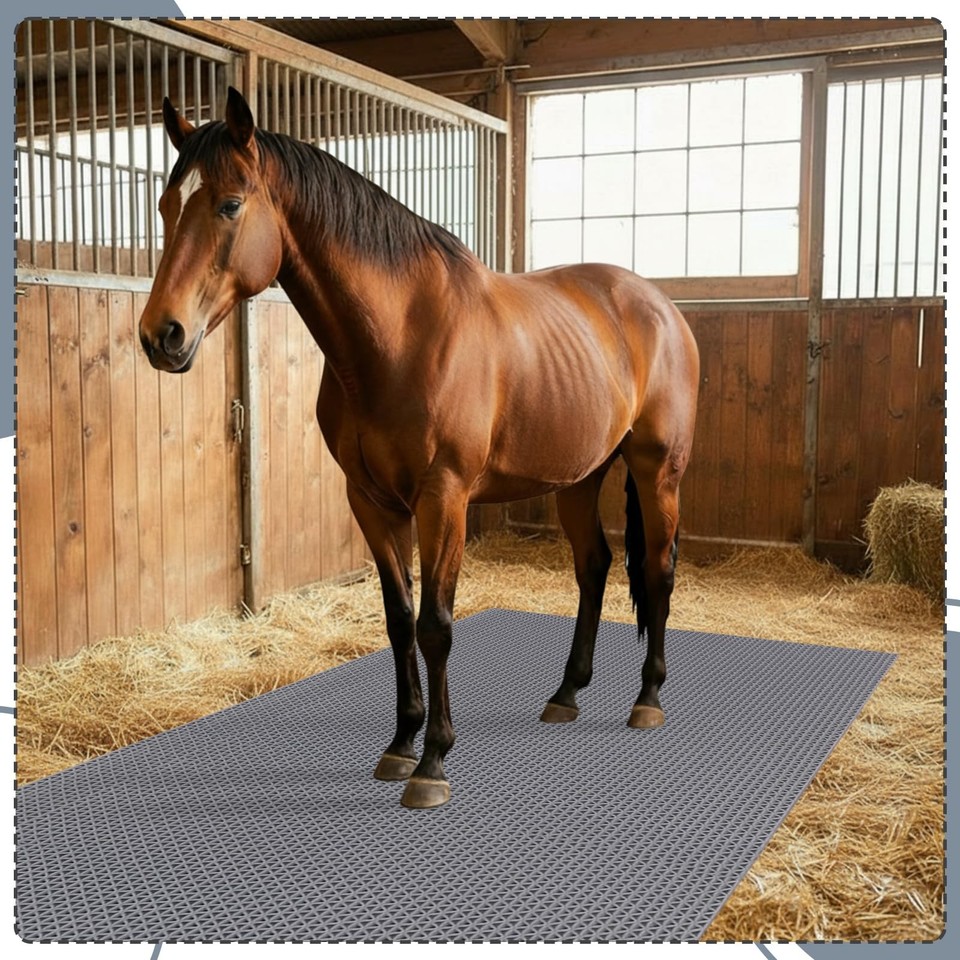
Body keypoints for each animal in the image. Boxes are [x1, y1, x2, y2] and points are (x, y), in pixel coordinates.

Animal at [139, 87, 700, 809]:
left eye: (230, 204)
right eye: (166, 205)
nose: (162, 335)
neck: (400, 334)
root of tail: (658, 306)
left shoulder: (444, 498)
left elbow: (435, 623)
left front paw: (433, 761)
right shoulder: (372, 501)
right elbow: (399, 617)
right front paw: (401, 743)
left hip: (659, 470)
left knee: (656, 569)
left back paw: (648, 698)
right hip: (579, 477)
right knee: (594, 568)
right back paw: (566, 693)